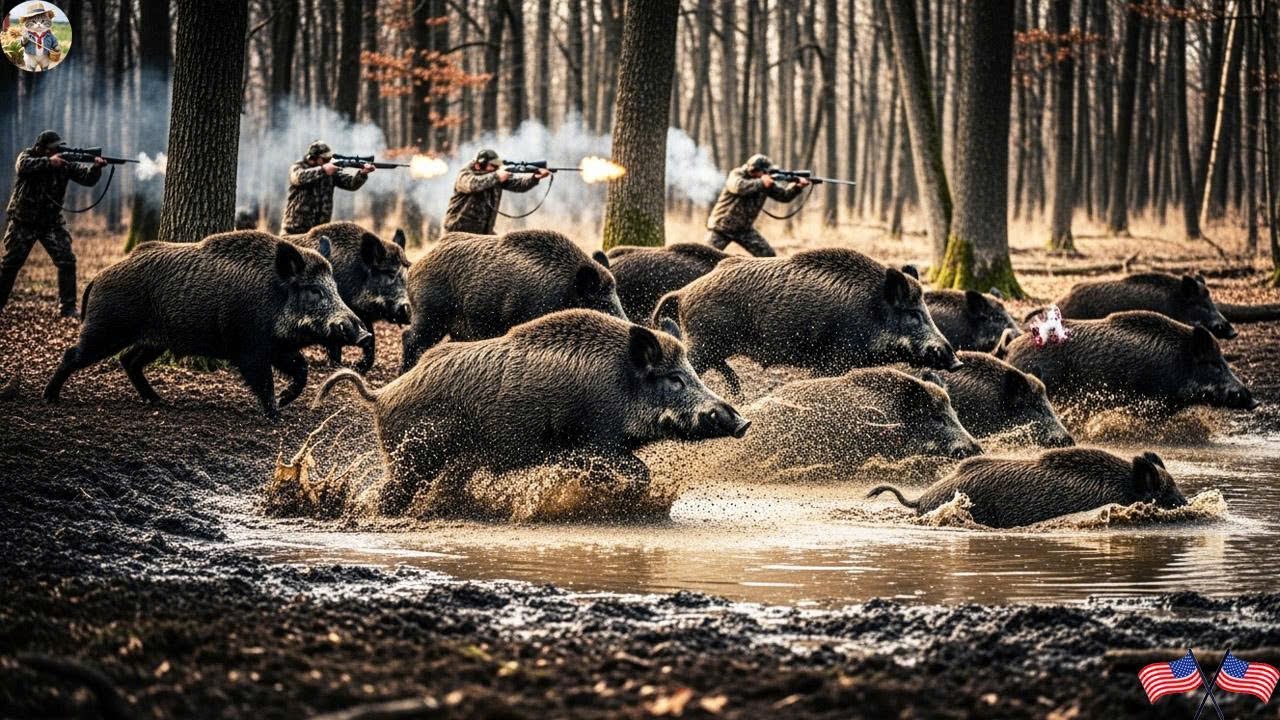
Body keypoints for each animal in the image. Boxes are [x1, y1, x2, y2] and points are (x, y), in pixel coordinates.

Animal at [43, 231, 369, 420]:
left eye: (334, 287)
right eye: (314, 290)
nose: (364, 332)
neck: (275, 298)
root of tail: (97, 278)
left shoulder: (276, 347)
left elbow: (301, 369)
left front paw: (285, 401)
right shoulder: (249, 348)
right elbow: (264, 380)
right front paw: (275, 414)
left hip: (155, 340)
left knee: (129, 360)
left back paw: (159, 401)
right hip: (105, 329)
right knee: (74, 354)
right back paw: (50, 398)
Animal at [283, 222, 411, 372]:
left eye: (406, 273)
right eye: (391, 274)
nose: (408, 310)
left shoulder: (361, 317)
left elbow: (371, 337)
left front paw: (359, 367)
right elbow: (336, 345)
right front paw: (339, 367)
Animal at [318, 309, 750, 516]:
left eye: (692, 371)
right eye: (674, 379)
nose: (743, 421)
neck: (622, 384)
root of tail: (381, 394)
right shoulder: (594, 442)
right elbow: (639, 471)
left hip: (448, 461)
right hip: (411, 457)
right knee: (388, 493)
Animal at [400, 229, 627, 372]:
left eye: (617, 298)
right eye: (602, 303)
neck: (566, 292)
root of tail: (417, 263)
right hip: (429, 315)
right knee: (409, 338)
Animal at [651, 248, 961, 395]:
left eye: (926, 310)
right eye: (913, 315)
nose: (956, 361)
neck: (872, 311)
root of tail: (684, 292)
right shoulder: (837, 356)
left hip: (714, 345)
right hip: (706, 341)